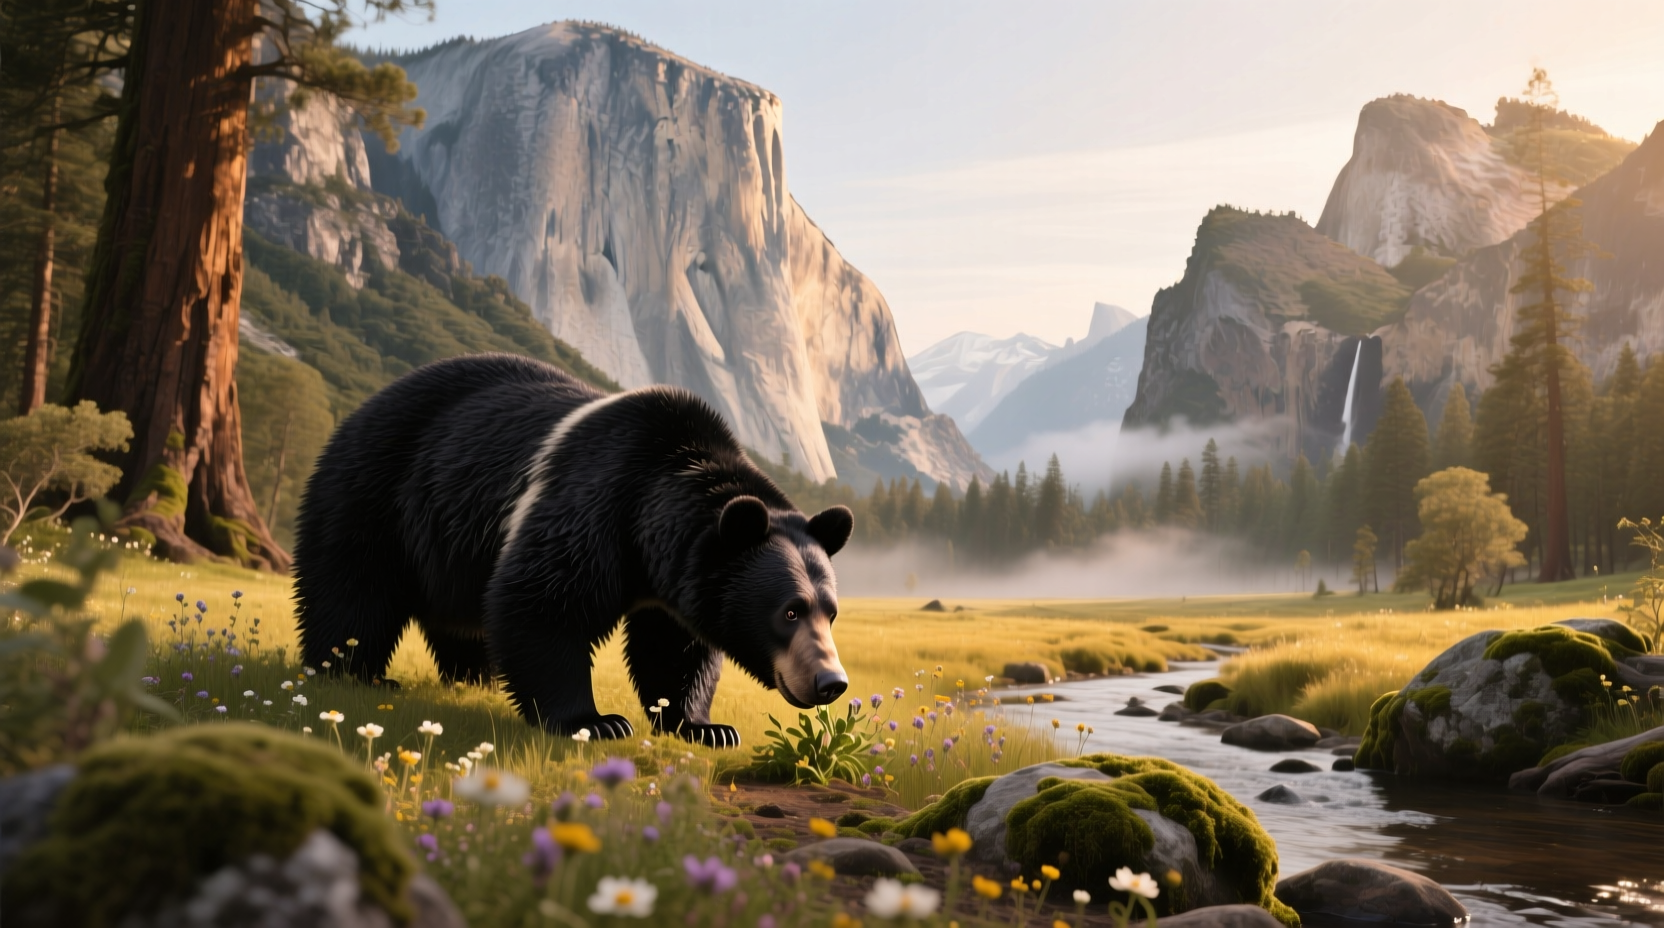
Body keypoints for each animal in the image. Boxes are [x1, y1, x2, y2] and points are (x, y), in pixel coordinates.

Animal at [292, 354, 854, 746]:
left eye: (830, 612)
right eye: (789, 611)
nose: (831, 682)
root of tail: (368, 403)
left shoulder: (677, 578)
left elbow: (676, 647)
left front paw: (704, 726)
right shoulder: (596, 503)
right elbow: (543, 602)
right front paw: (596, 722)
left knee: (459, 617)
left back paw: (474, 677)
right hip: (378, 490)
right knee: (352, 587)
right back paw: (352, 672)